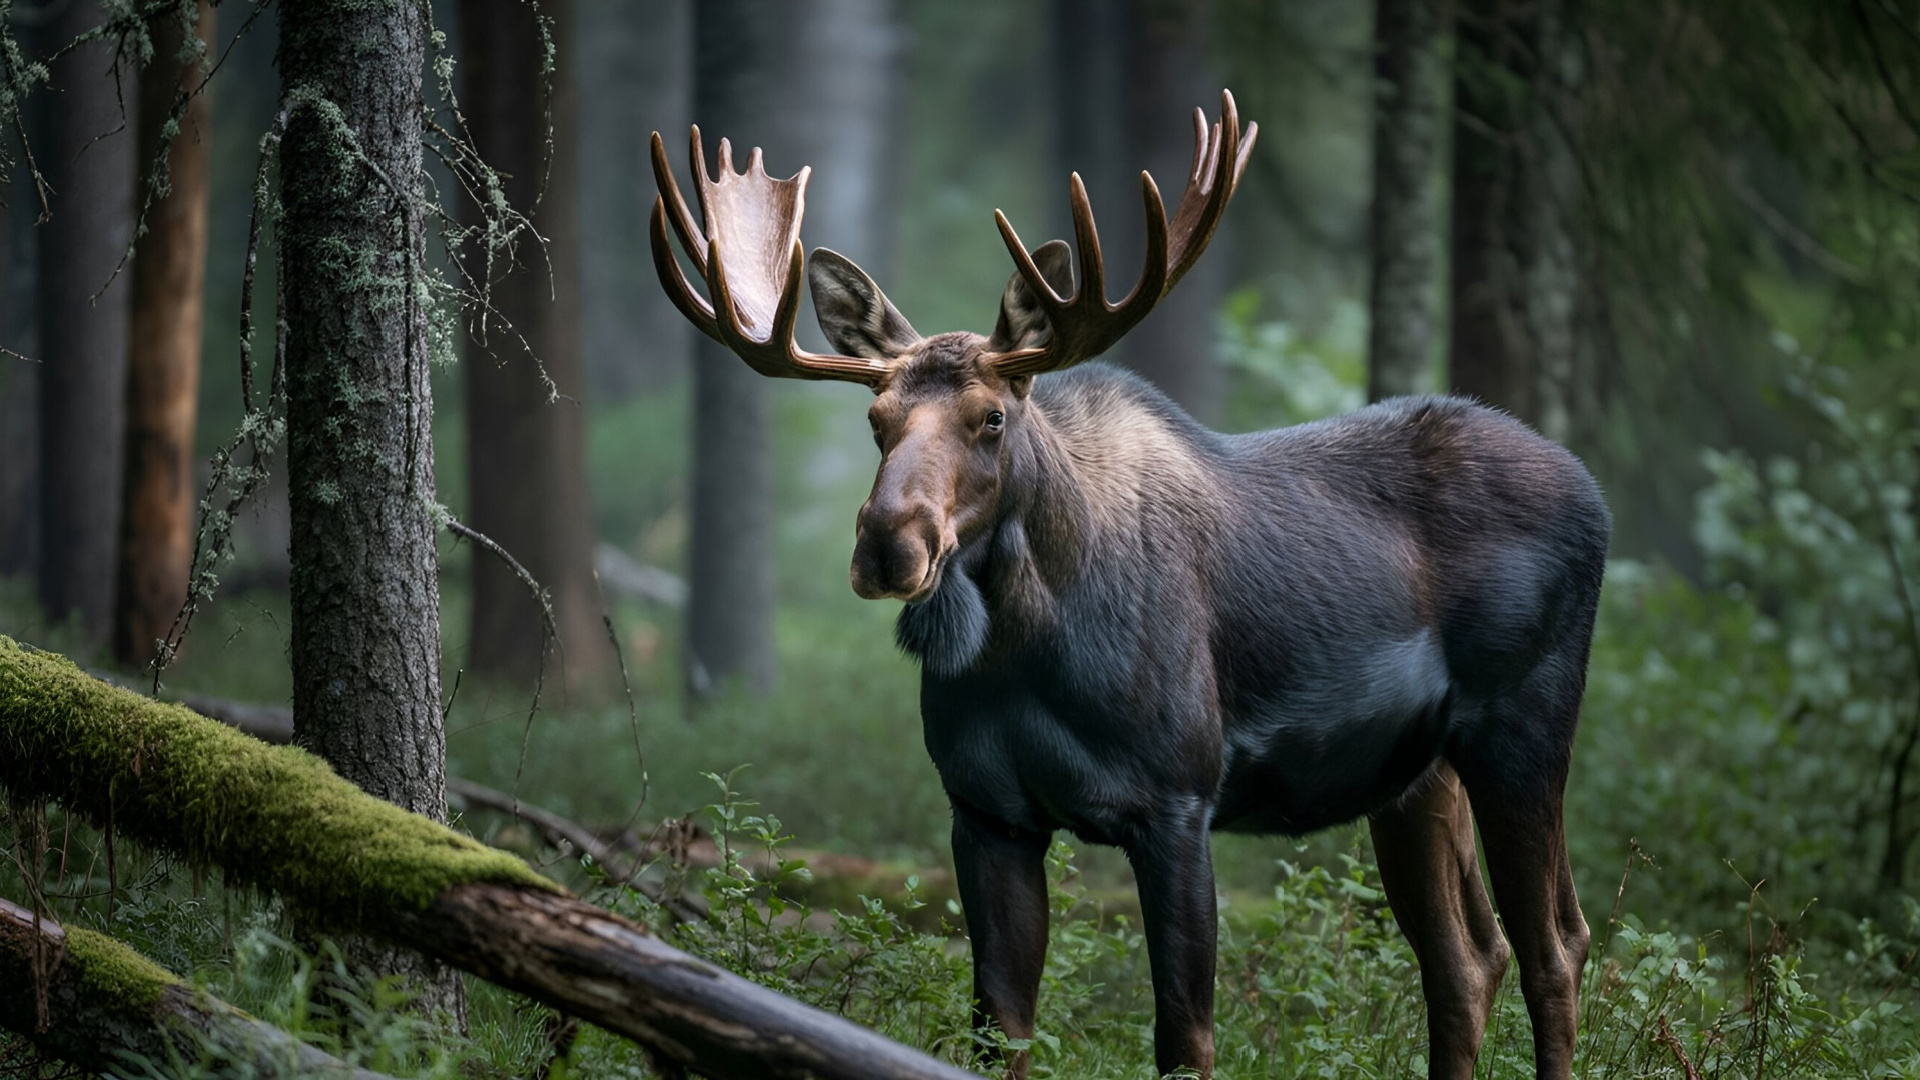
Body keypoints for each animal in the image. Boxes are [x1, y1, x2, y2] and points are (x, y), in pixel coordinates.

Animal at [647, 91, 1608, 1080]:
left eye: (991, 418)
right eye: (877, 420)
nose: (887, 545)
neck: (1022, 651)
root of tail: (1592, 489)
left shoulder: (1177, 801)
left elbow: (1185, 1035)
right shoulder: (986, 812)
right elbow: (1000, 1028)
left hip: (1525, 724)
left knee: (1556, 944)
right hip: (1414, 775)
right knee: (1466, 958)